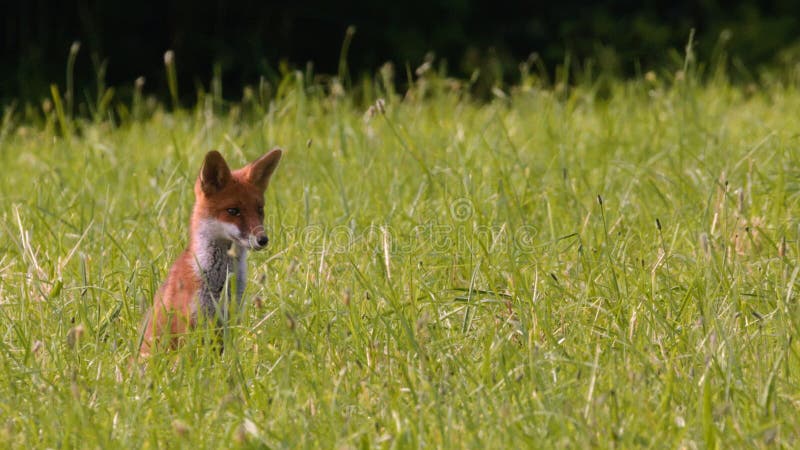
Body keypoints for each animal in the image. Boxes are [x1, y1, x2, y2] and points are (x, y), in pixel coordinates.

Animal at [139, 148, 282, 356]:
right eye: (233, 211)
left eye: (259, 210)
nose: (262, 239)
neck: (219, 281)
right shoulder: (192, 324)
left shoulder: (229, 321)